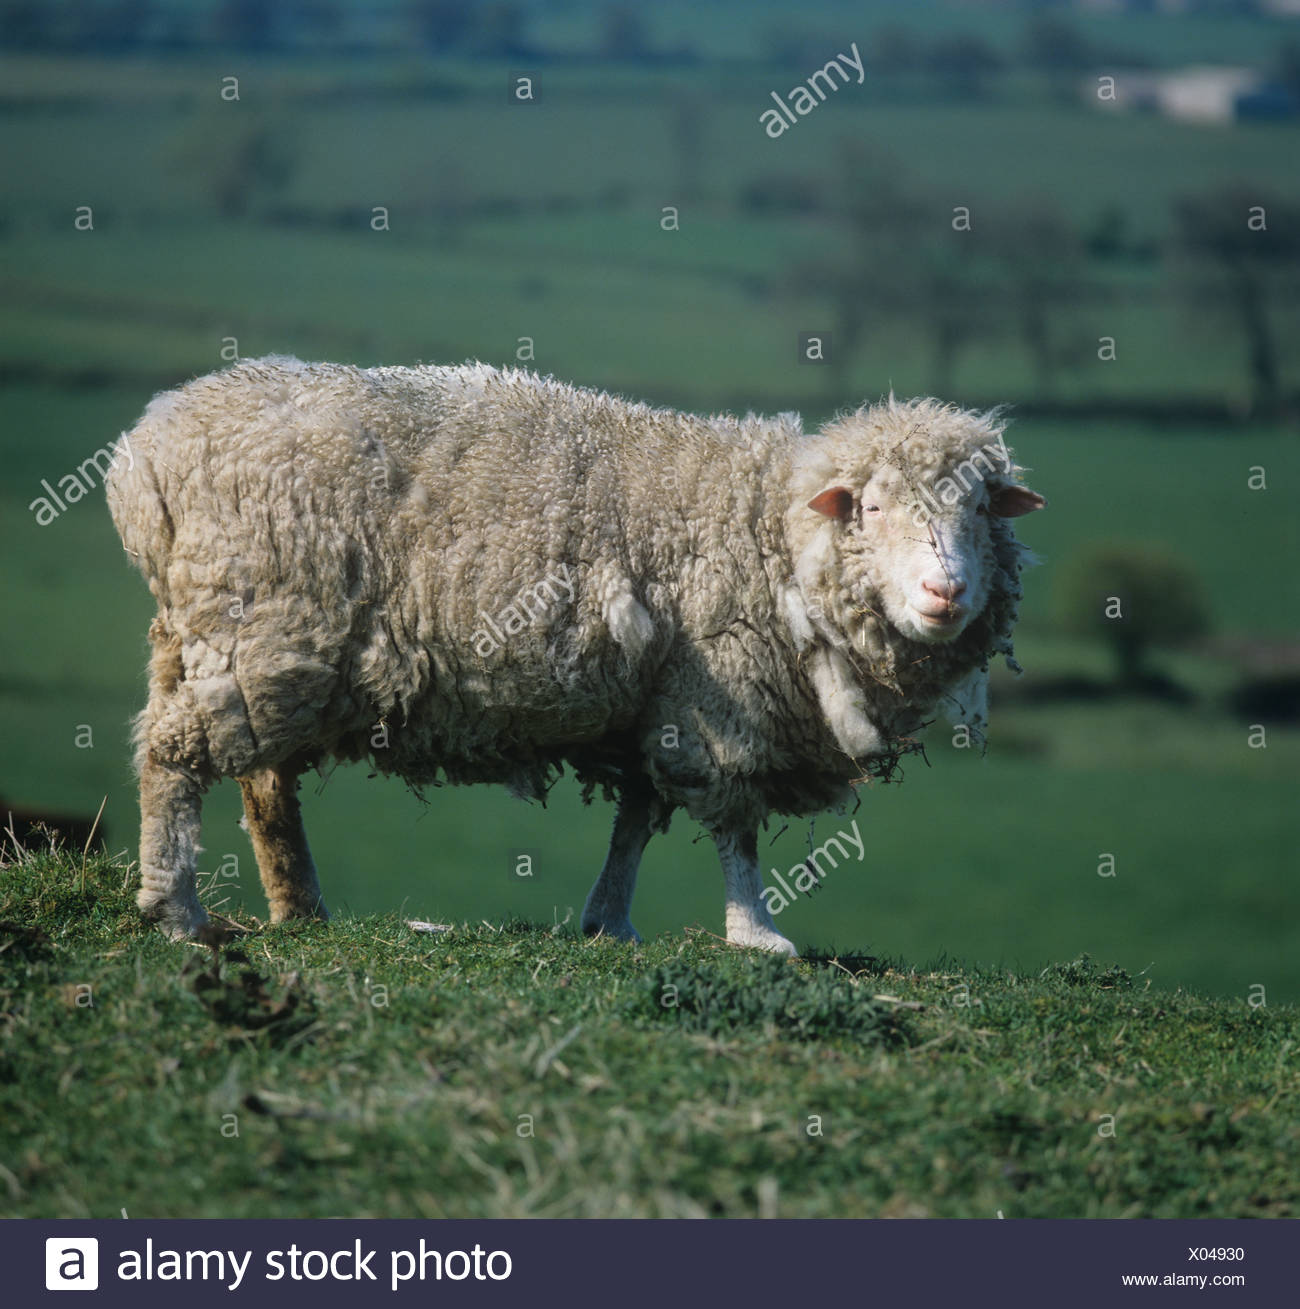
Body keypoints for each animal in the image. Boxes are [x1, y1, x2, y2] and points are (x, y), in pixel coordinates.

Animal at [105, 356, 1044, 953]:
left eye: (978, 509)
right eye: (873, 507)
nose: (946, 593)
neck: (772, 532)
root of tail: (146, 452)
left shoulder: (660, 700)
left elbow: (635, 819)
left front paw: (610, 921)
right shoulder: (723, 697)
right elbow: (735, 827)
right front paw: (758, 933)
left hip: (230, 643)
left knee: (262, 783)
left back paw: (298, 907)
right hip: (262, 631)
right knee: (172, 756)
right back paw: (175, 908)